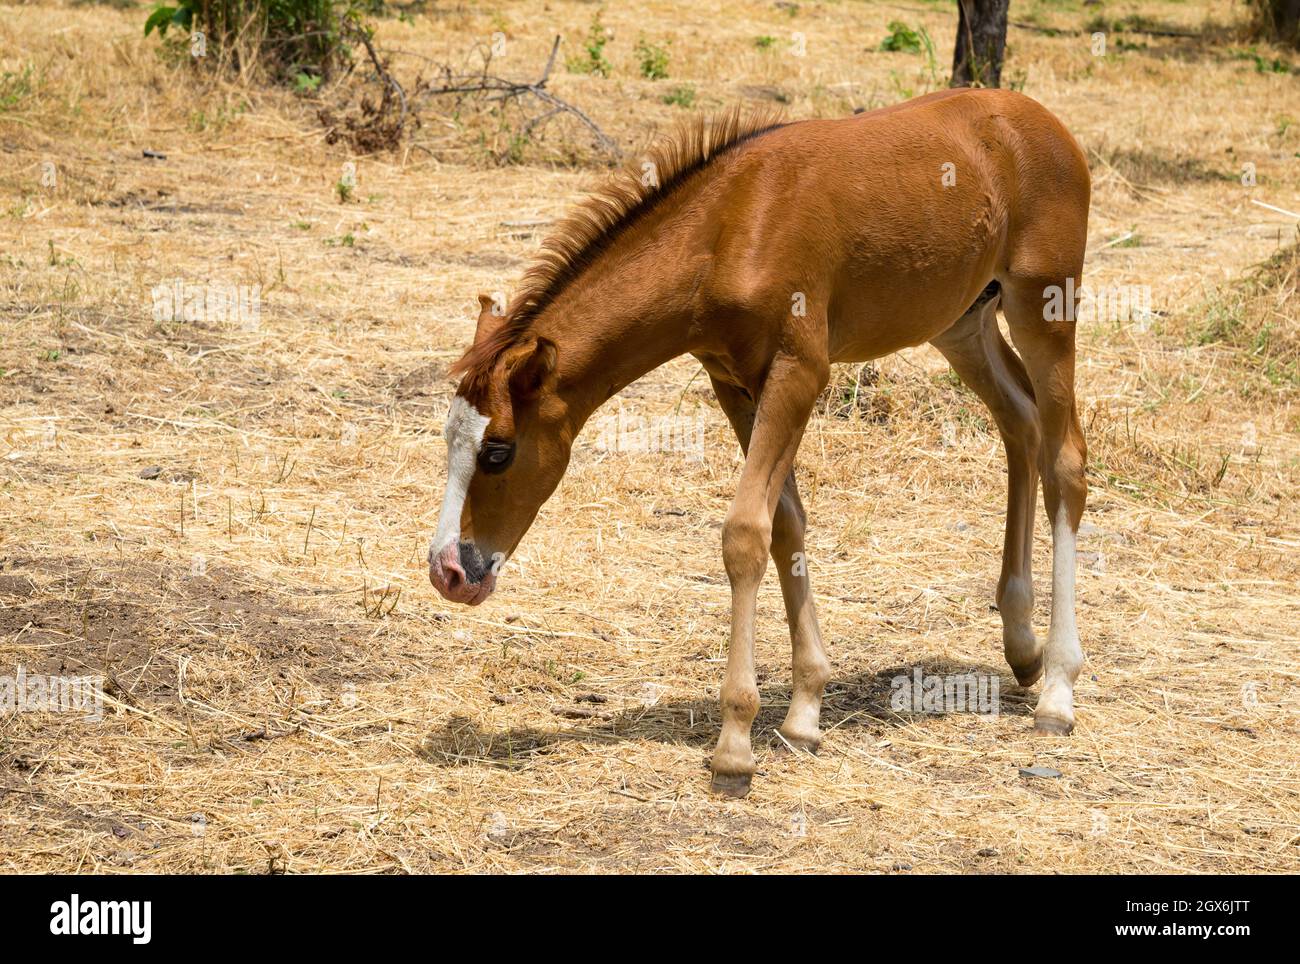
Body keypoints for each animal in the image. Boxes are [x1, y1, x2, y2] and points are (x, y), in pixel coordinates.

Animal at [429, 88, 1090, 798]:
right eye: (450, 443)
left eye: (499, 451)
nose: (448, 571)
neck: (731, 225)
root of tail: (1043, 120)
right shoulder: (734, 380)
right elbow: (785, 524)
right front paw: (803, 714)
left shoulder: (800, 371)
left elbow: (745, 532)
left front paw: (735, 745)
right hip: (963, 321)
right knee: (1020, 422)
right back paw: (1021, 643)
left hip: (1045, 306)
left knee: (1065, 460)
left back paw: (1058, 690)